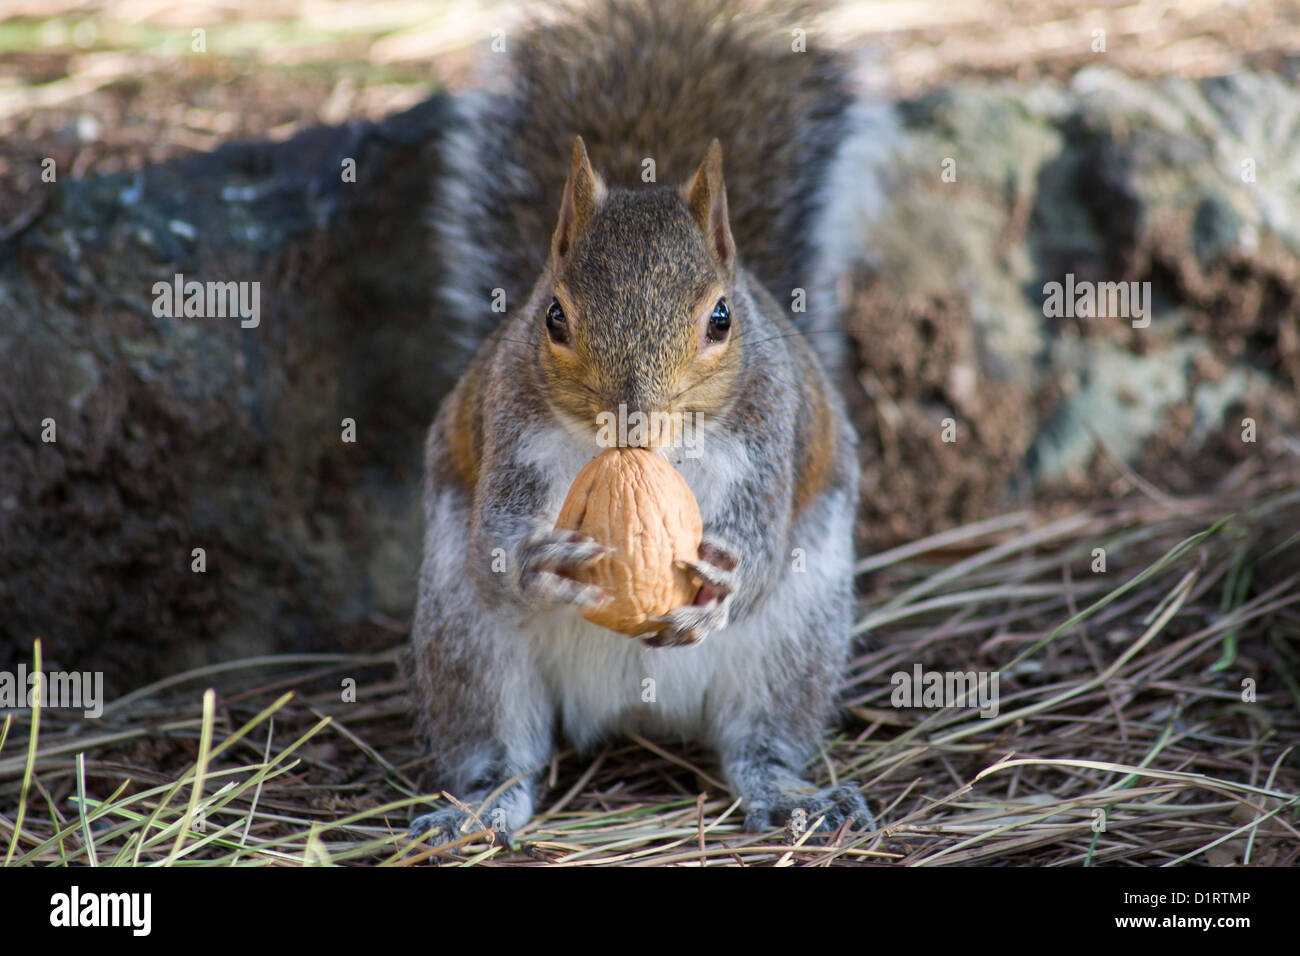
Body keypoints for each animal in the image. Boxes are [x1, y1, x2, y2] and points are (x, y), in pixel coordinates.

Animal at [408, 0, 890, 846]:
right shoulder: (508, 427)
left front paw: (728, 576)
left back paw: (793, 795)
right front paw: (541, 563)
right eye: (554, 317)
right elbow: (495, 541)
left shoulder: (771, 434)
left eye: (722, 318)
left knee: (757, 742)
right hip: (467, 642)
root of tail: (631, 709)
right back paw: (480, 809)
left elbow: (764, 546)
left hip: (796, 642)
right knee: (506, 754)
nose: (632, 417)